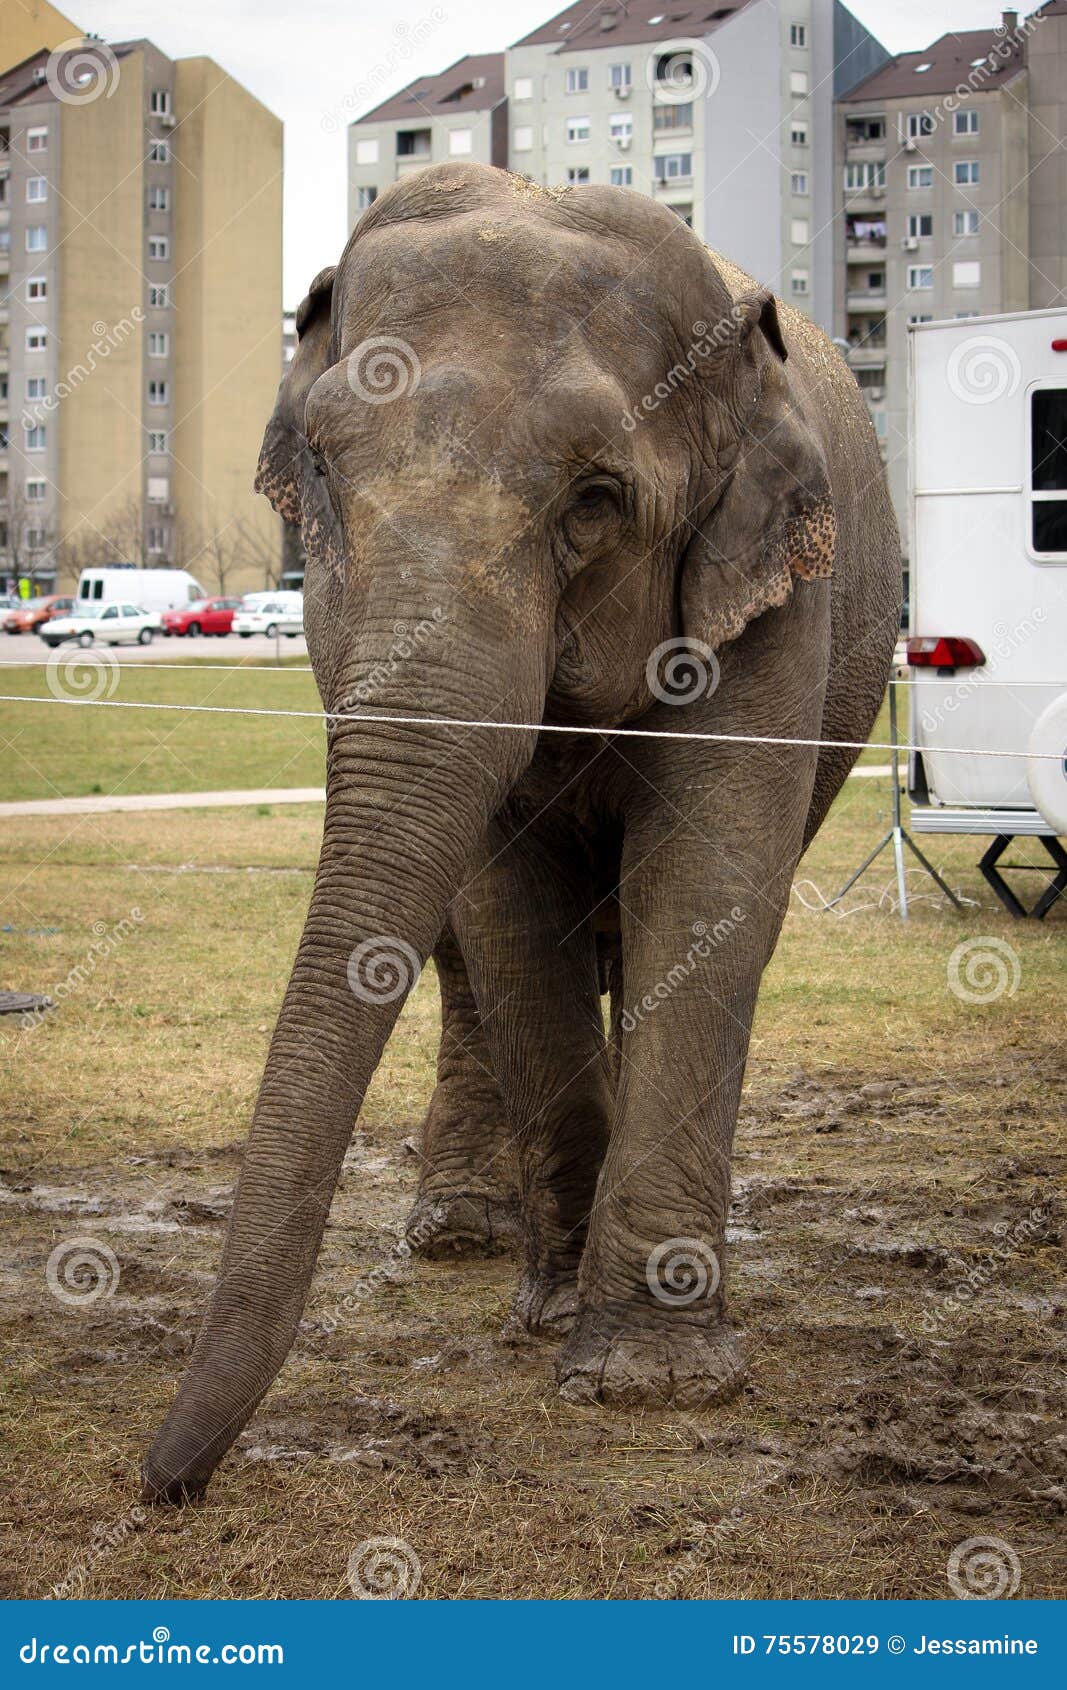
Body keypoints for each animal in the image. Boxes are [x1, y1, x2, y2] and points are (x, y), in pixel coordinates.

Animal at [142, 162, 900, 1504]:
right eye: (321, 474)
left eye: (594, 501)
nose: (159, 1485)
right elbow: (505, 909)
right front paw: (554, 1318)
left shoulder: (773, 597)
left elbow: (703, 894)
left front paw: (648, 1381)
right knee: (459, 954)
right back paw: (460, 1234)